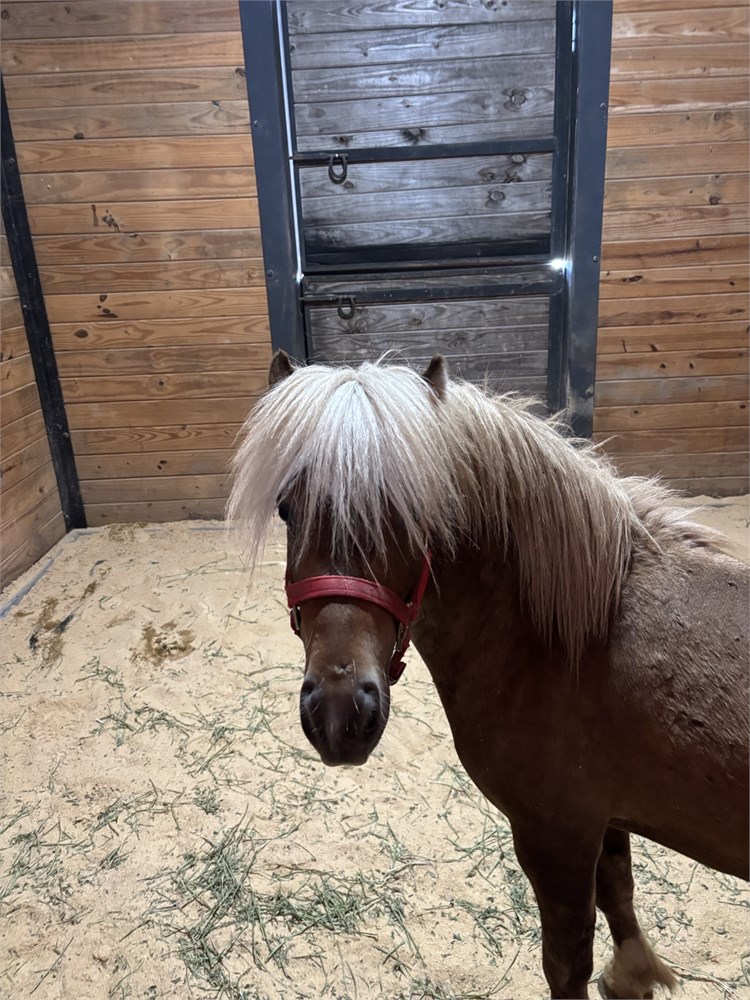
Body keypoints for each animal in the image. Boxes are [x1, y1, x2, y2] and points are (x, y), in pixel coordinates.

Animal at [227, 350, 748, 1000]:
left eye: (413, 514)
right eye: (286, 509)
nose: (339, 716)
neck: (567, 642)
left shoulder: (555, 835)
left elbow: (568, 961)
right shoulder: (602, 817)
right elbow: (619, 892)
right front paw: (633, 974)